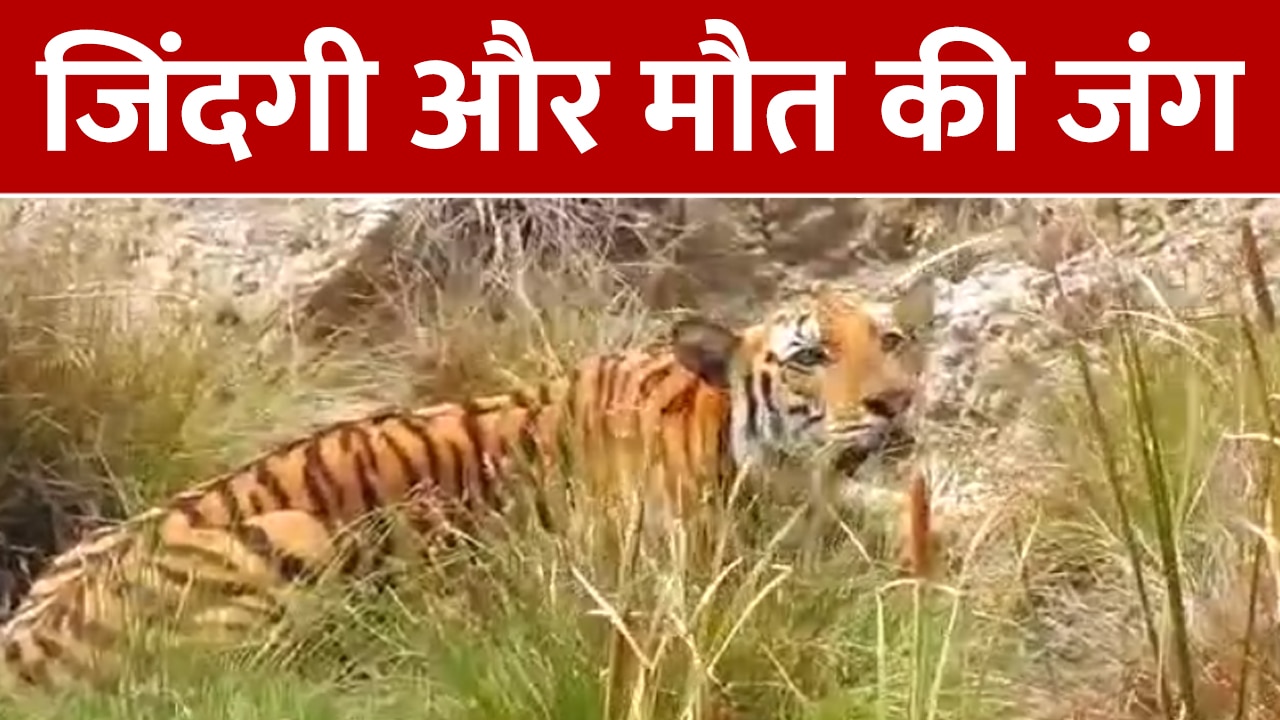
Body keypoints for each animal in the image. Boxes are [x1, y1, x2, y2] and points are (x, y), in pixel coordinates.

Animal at [0, 280, 935, 694]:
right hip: (295, 538)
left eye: (891, 340)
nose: (896, 401)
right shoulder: (668, 580)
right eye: (811, 354)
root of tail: (25, 643)